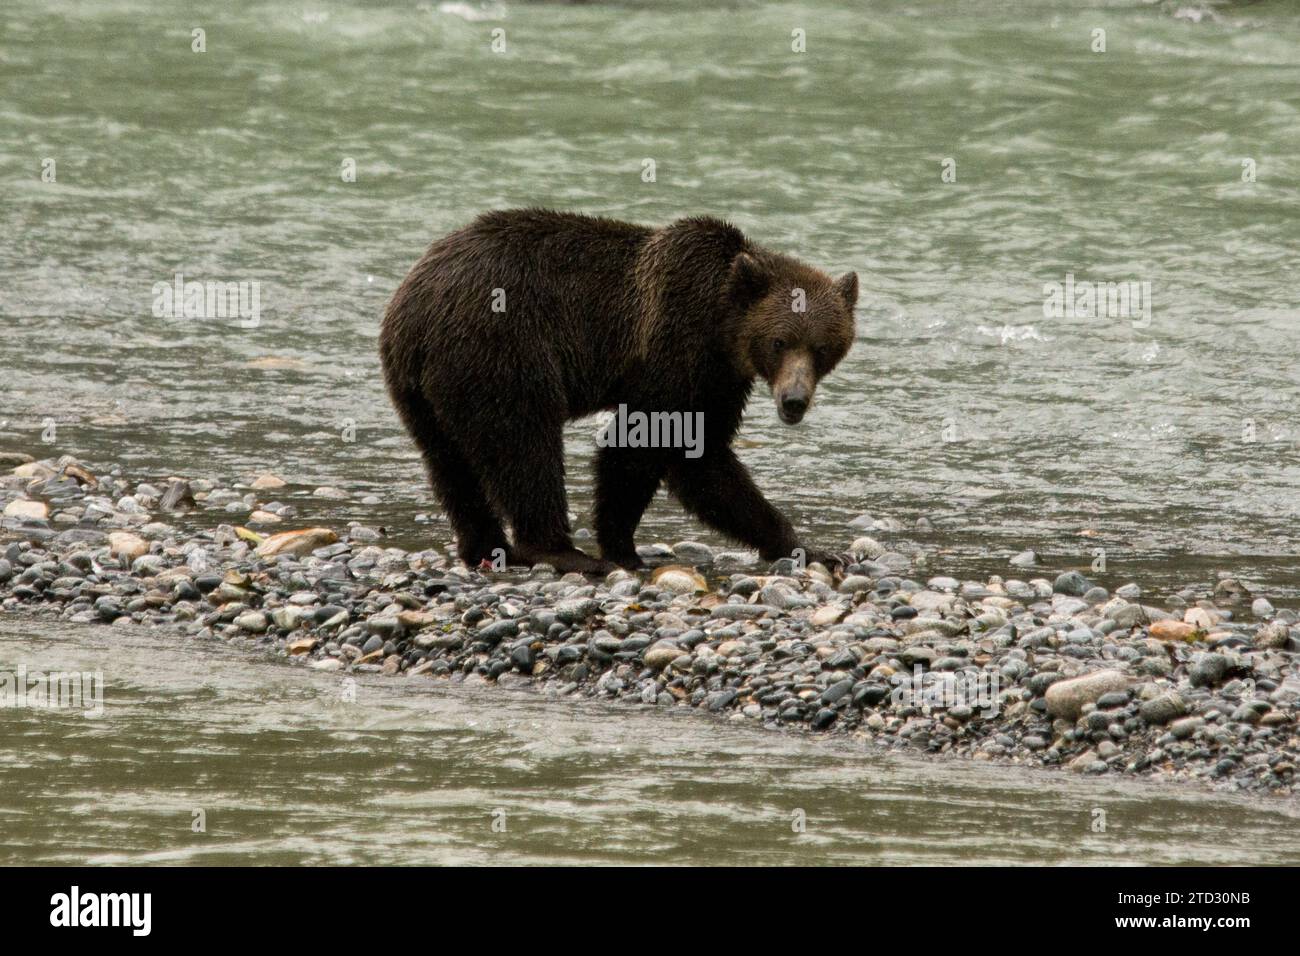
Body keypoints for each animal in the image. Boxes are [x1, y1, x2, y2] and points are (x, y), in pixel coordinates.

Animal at [379, 208, 858, 575]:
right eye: (780, 342)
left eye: (822, 348)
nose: (793, 400)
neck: (722, 327)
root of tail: (415, 304)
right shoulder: (673, 345)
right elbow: (647, 442)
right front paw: (622, 548)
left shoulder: (718, 378)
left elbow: (703, 454)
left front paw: (810, 548)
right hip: (500, 347)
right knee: (524, 445)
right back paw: (561, 551)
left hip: (423, 385)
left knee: (448, 461)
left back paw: (486, 547)